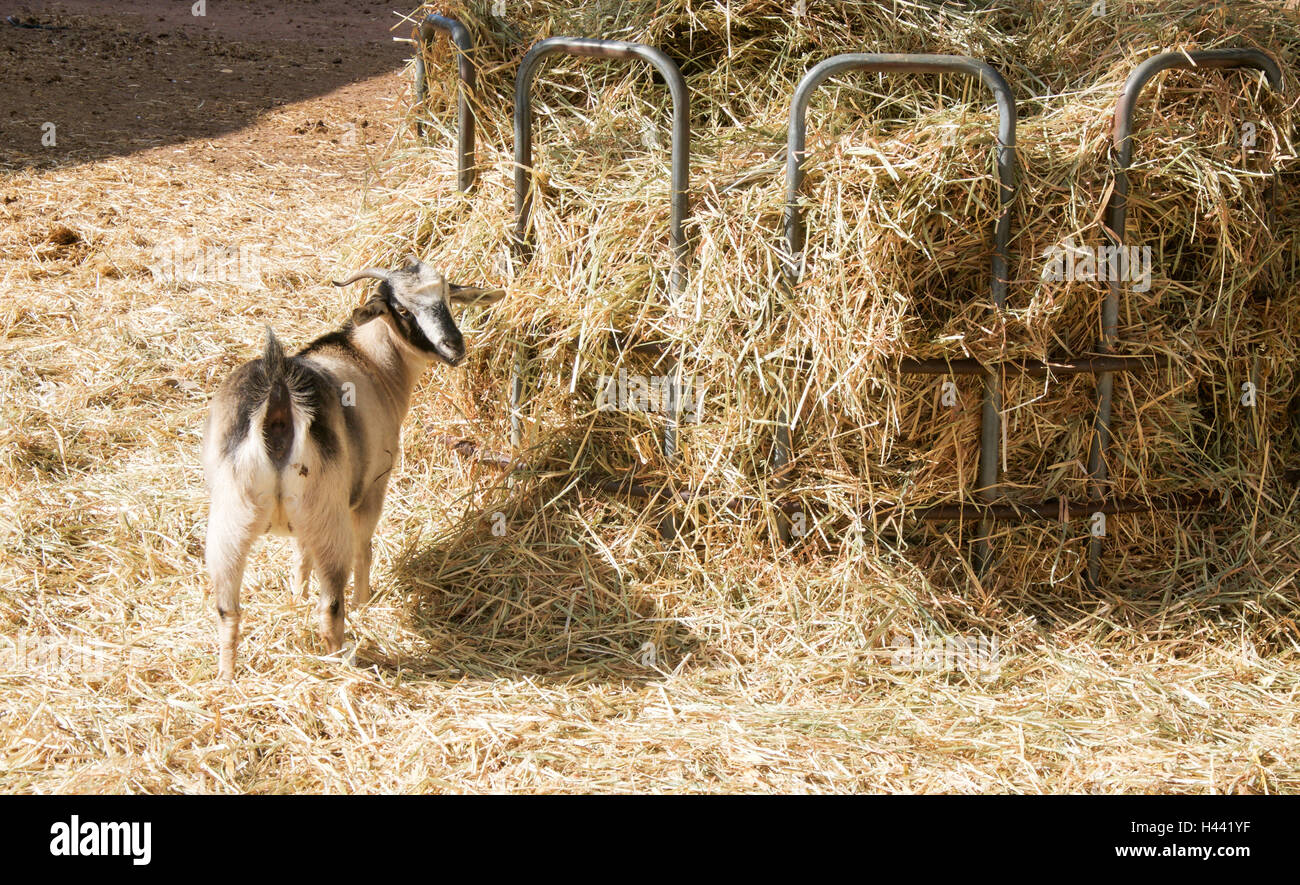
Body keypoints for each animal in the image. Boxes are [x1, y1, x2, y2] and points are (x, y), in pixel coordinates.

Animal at [201, 258, 503, 679]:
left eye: (446, 296)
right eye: (402, 309)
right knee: (330, 605)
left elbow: (299, 553)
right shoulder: (373, 487)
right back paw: (340, 662)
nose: (454, 347)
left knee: (227, 609)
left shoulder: (302, 522)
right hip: (328, 515)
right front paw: (364, 602)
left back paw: (227, 678)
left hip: (230, 518)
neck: (368, 359)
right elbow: (366, 548)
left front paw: (295, 596)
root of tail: (278, 400)